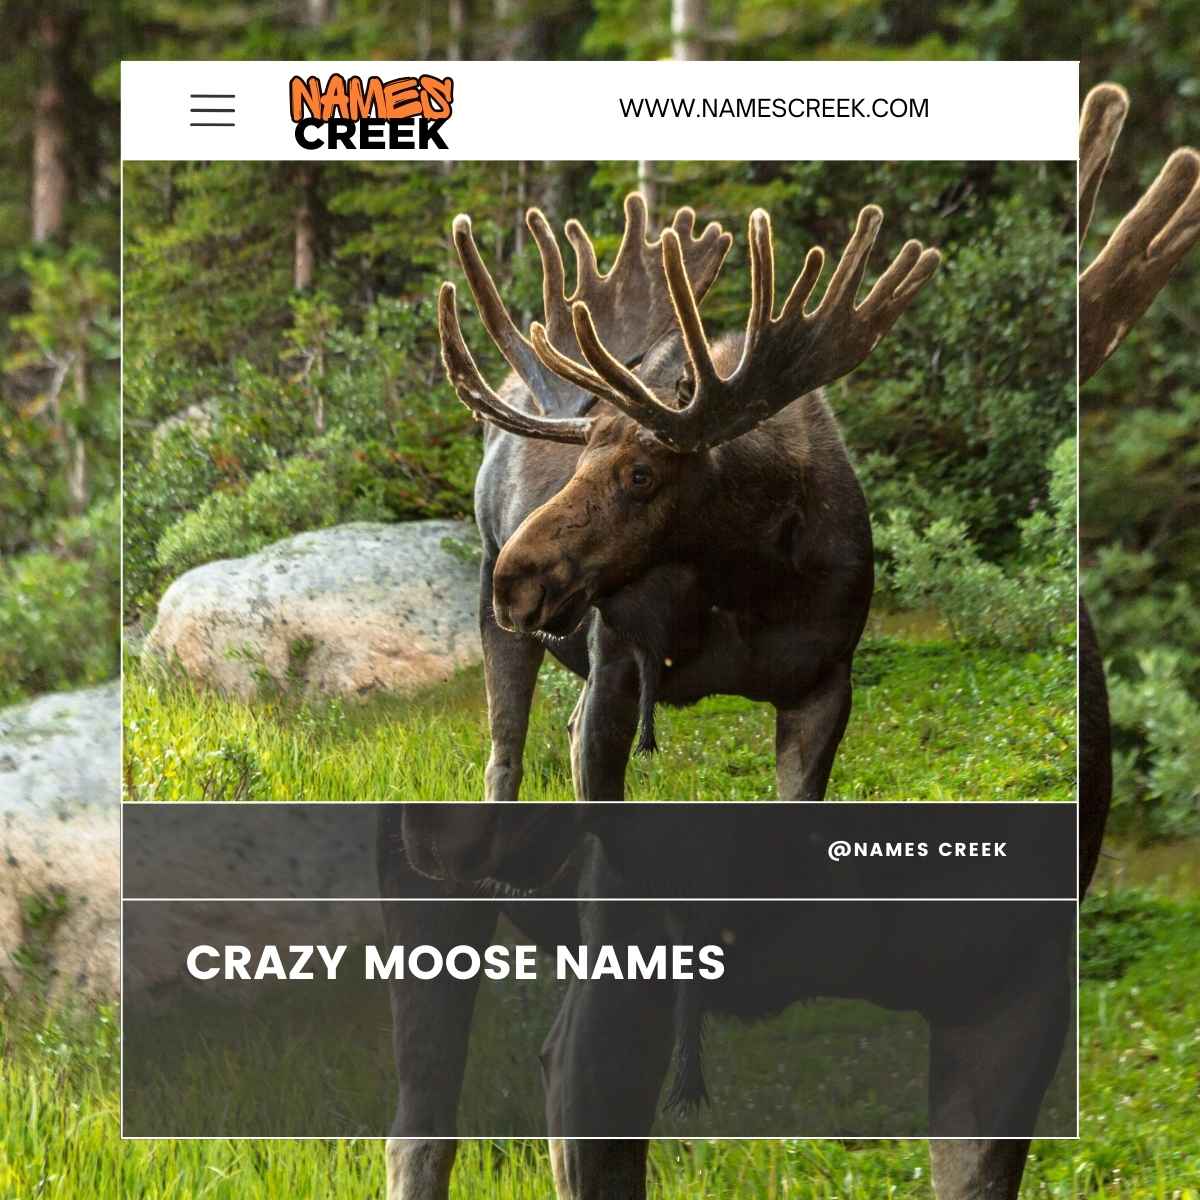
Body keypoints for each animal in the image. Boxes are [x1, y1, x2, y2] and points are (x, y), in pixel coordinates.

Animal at [439, 192, 940, 804]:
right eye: (578, 465)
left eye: (640, 475)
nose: (515, 580)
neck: (748, 582)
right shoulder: (615, 677)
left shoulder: (824, 685)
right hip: (505, 625)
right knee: (504, 760)